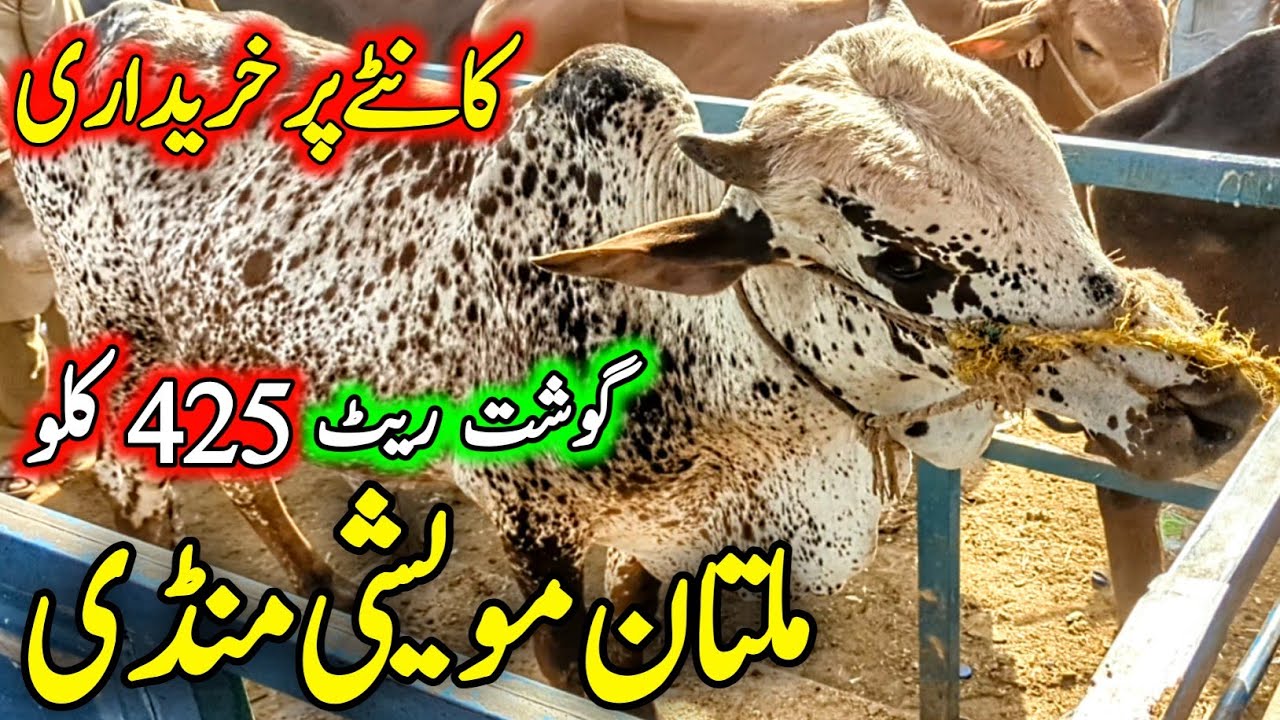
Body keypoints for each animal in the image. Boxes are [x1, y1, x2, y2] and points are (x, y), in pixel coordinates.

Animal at [11, 0, 1260, 696]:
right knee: (135, 481)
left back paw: (316, 579)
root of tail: (92, 28)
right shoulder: (538, 541)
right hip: (119, 336)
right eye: (901, 260)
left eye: (1055, 175)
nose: (1215, 401)